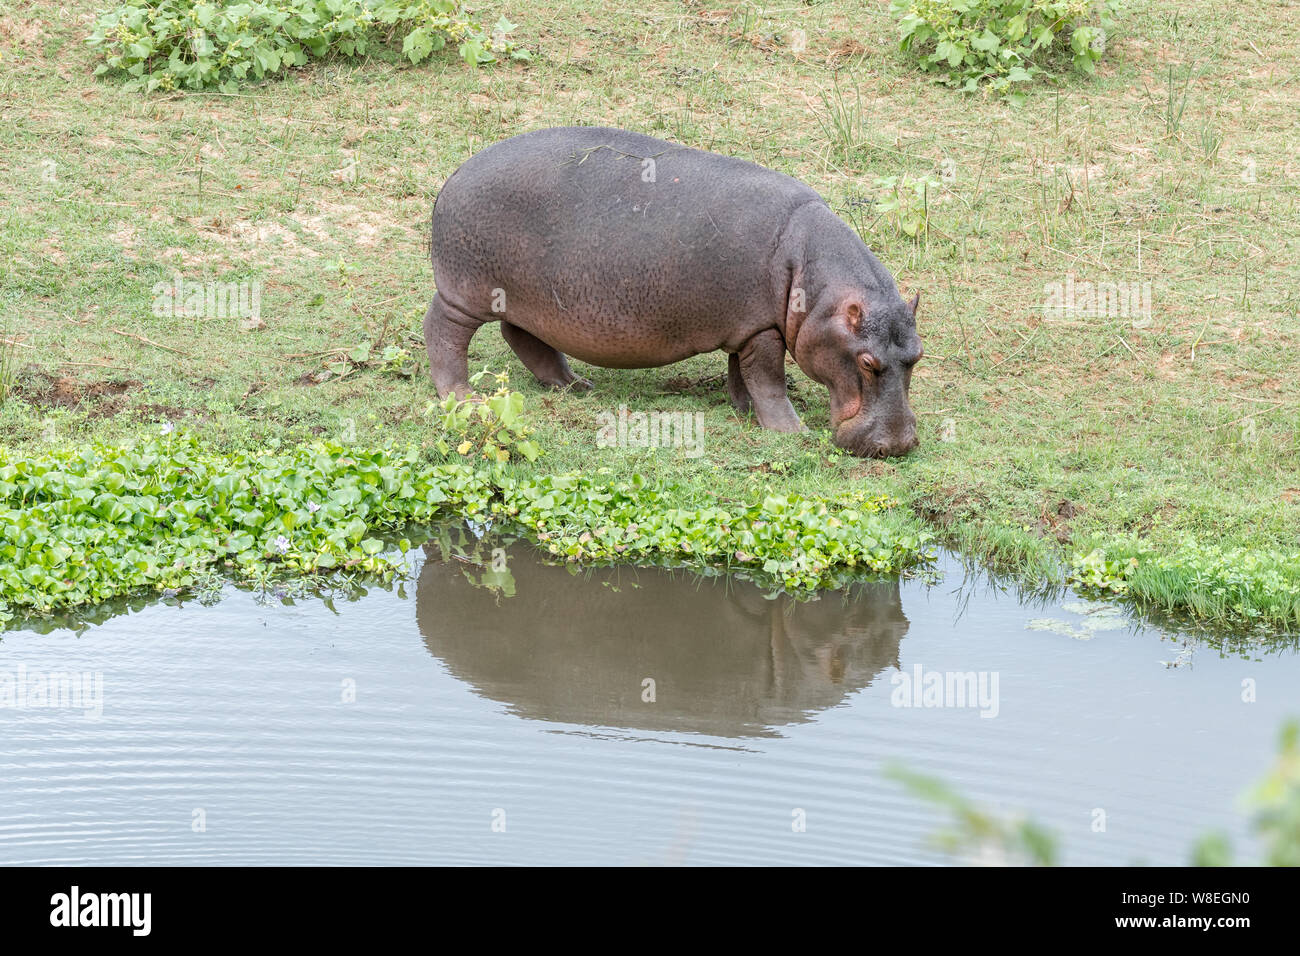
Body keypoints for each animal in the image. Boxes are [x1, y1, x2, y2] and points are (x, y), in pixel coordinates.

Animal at [425, 126, 924, 457]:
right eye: (867, 362)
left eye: (917, 356)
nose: (899, 446)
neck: (815, 283)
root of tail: (454, 174)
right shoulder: (763, 330)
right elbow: (769, 379)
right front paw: (790, 431)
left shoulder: (746, 327)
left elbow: (742, 373)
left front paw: (744, 412)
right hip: (465, 293)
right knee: (443, 332)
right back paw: (462, 398)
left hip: (529, 300)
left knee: (523, 337)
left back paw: (576, 385)